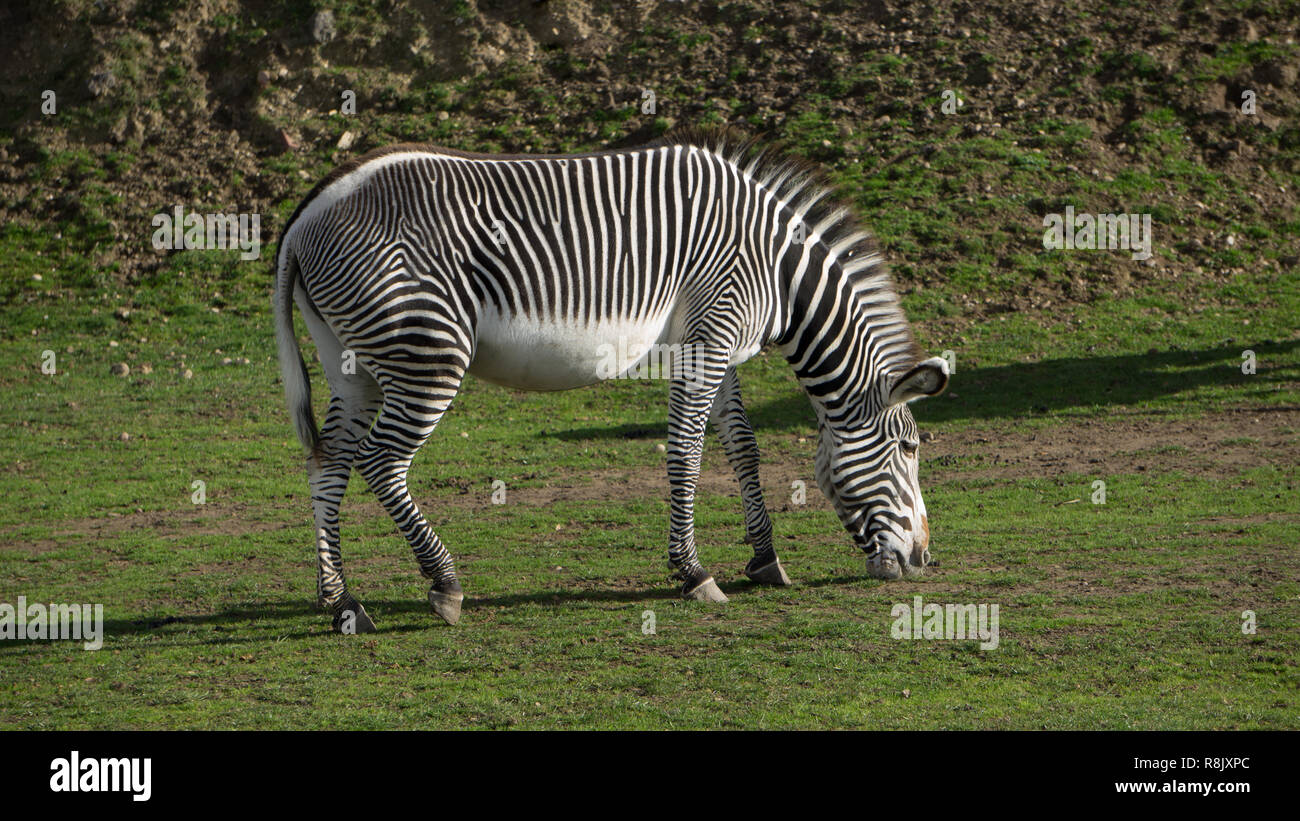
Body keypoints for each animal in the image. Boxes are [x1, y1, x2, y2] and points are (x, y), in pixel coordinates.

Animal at [273, 128, 949, 631]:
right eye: (910, 448)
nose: (923, 559)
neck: (780, 270)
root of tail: (307, 213)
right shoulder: (711, 336)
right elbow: (687, 452)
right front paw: (693, 573)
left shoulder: (717, 347)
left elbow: (742, 447)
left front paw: (765, 559)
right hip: (426, 352)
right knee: (381, 461)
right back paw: (445, 585)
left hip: (353, 364)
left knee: (328, 461)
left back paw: (342, 602)